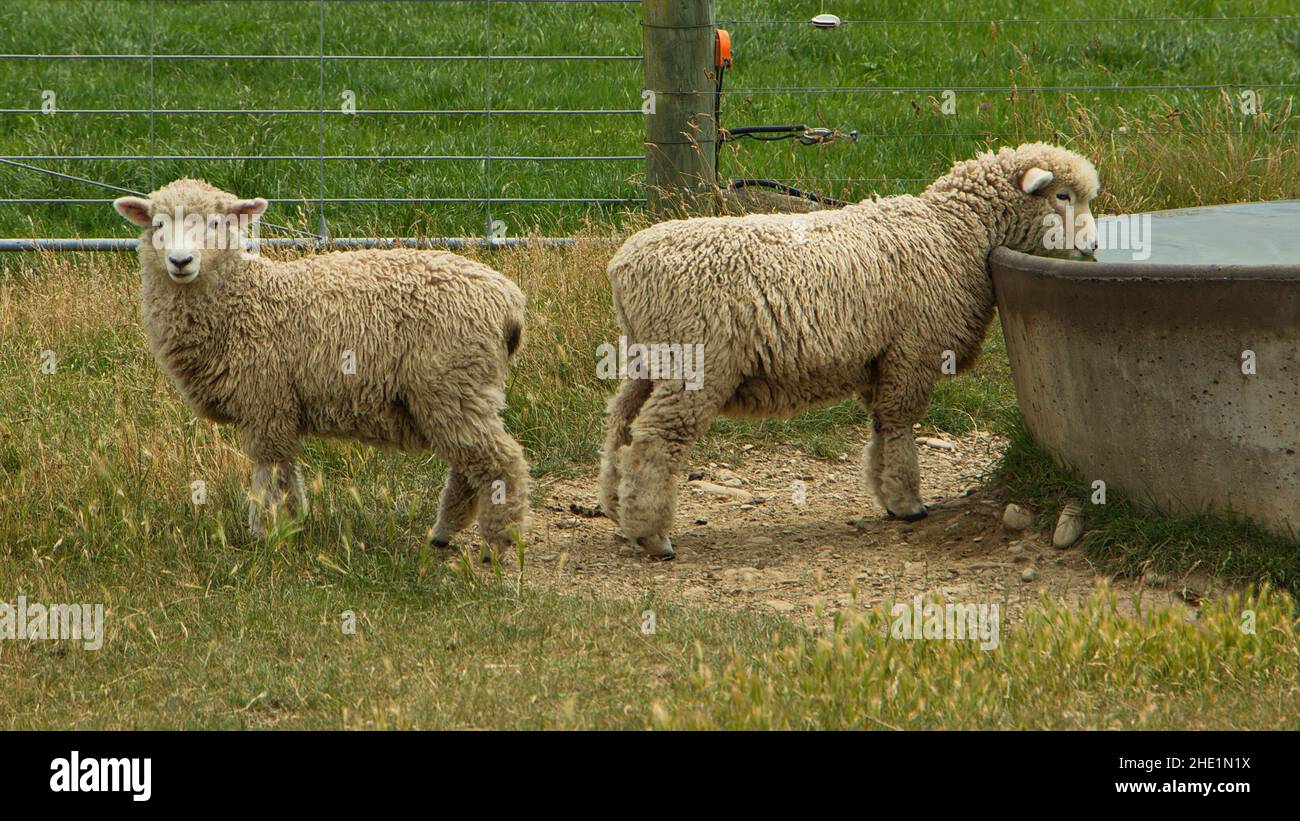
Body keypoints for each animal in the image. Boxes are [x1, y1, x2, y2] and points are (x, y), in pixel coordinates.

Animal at [113, 178, 530, 560]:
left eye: (216, 223)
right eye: (158, 225)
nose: (180, 262)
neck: (240, 300)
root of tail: (509, 300)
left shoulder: (267, 400)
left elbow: (269, 470)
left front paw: (264, 533)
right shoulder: (278, 406)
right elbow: (285, 473)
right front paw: (292, 523)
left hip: (451, 382)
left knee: (500, 461)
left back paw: (497, 542)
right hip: (458, 389)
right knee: (467, 465)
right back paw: (443, 533)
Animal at [598, 143, 1099, 559]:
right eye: (1062, 196)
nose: (1094, 245)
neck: (952, 231)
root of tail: (623, 266)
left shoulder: (881, 357)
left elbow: (880, 425)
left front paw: (886, 492)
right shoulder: (912, 350)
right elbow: (898, 425)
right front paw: (906, 500)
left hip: (648, 357)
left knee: (621, 424)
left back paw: (617, 510)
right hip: (695, 361)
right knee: (654, 438)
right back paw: (653, 536)